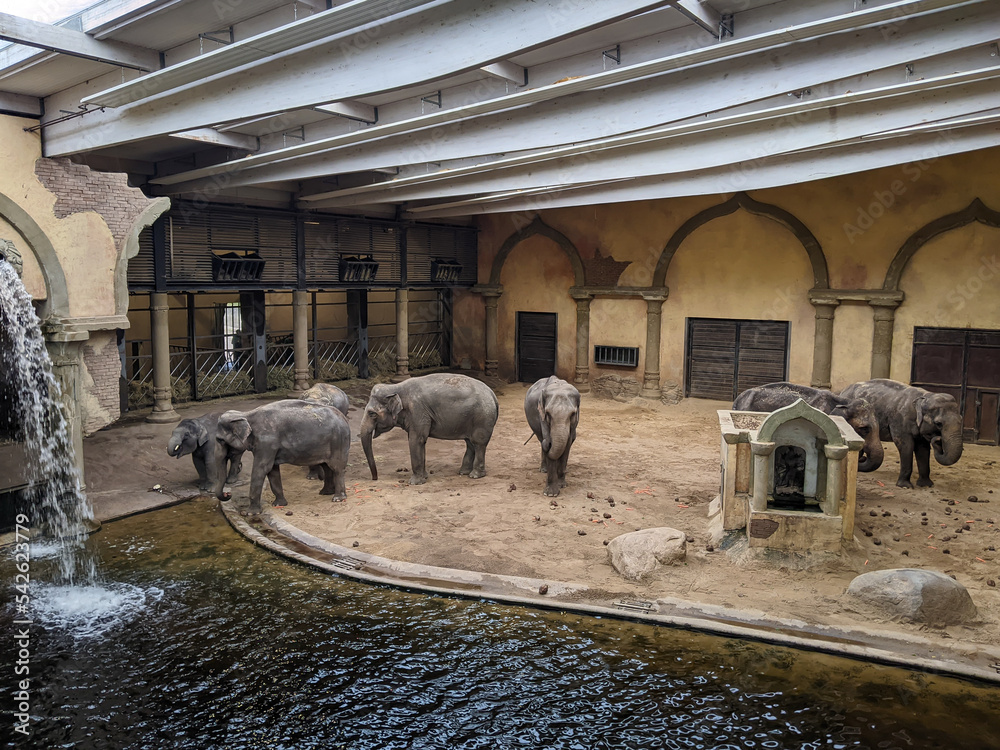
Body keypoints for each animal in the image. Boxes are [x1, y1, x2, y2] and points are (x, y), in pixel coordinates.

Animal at [213, 400, 351, 513]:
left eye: (220, 440)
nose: (227, 494)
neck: (245, 414)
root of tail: (343, 417)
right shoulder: (268, 447)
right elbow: (272, 470)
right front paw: (279, 504)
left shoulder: (267, 443)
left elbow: (261, 468)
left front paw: (251, 513)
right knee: (327, 466)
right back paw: (325, 492)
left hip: (339, 441)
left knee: (337, 468)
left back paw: (337, 498)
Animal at [360, 373, 499, 484]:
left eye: (372, 413)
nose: (375, 478)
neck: (395, 387)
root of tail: (492, 394)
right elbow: (421, 442)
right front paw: (425, 477)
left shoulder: (418, 411)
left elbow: (416, 440)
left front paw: (414, 483)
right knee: (470, 443)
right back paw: (463, 472)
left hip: (482, 418)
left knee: (478, 443)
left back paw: (475, 476)